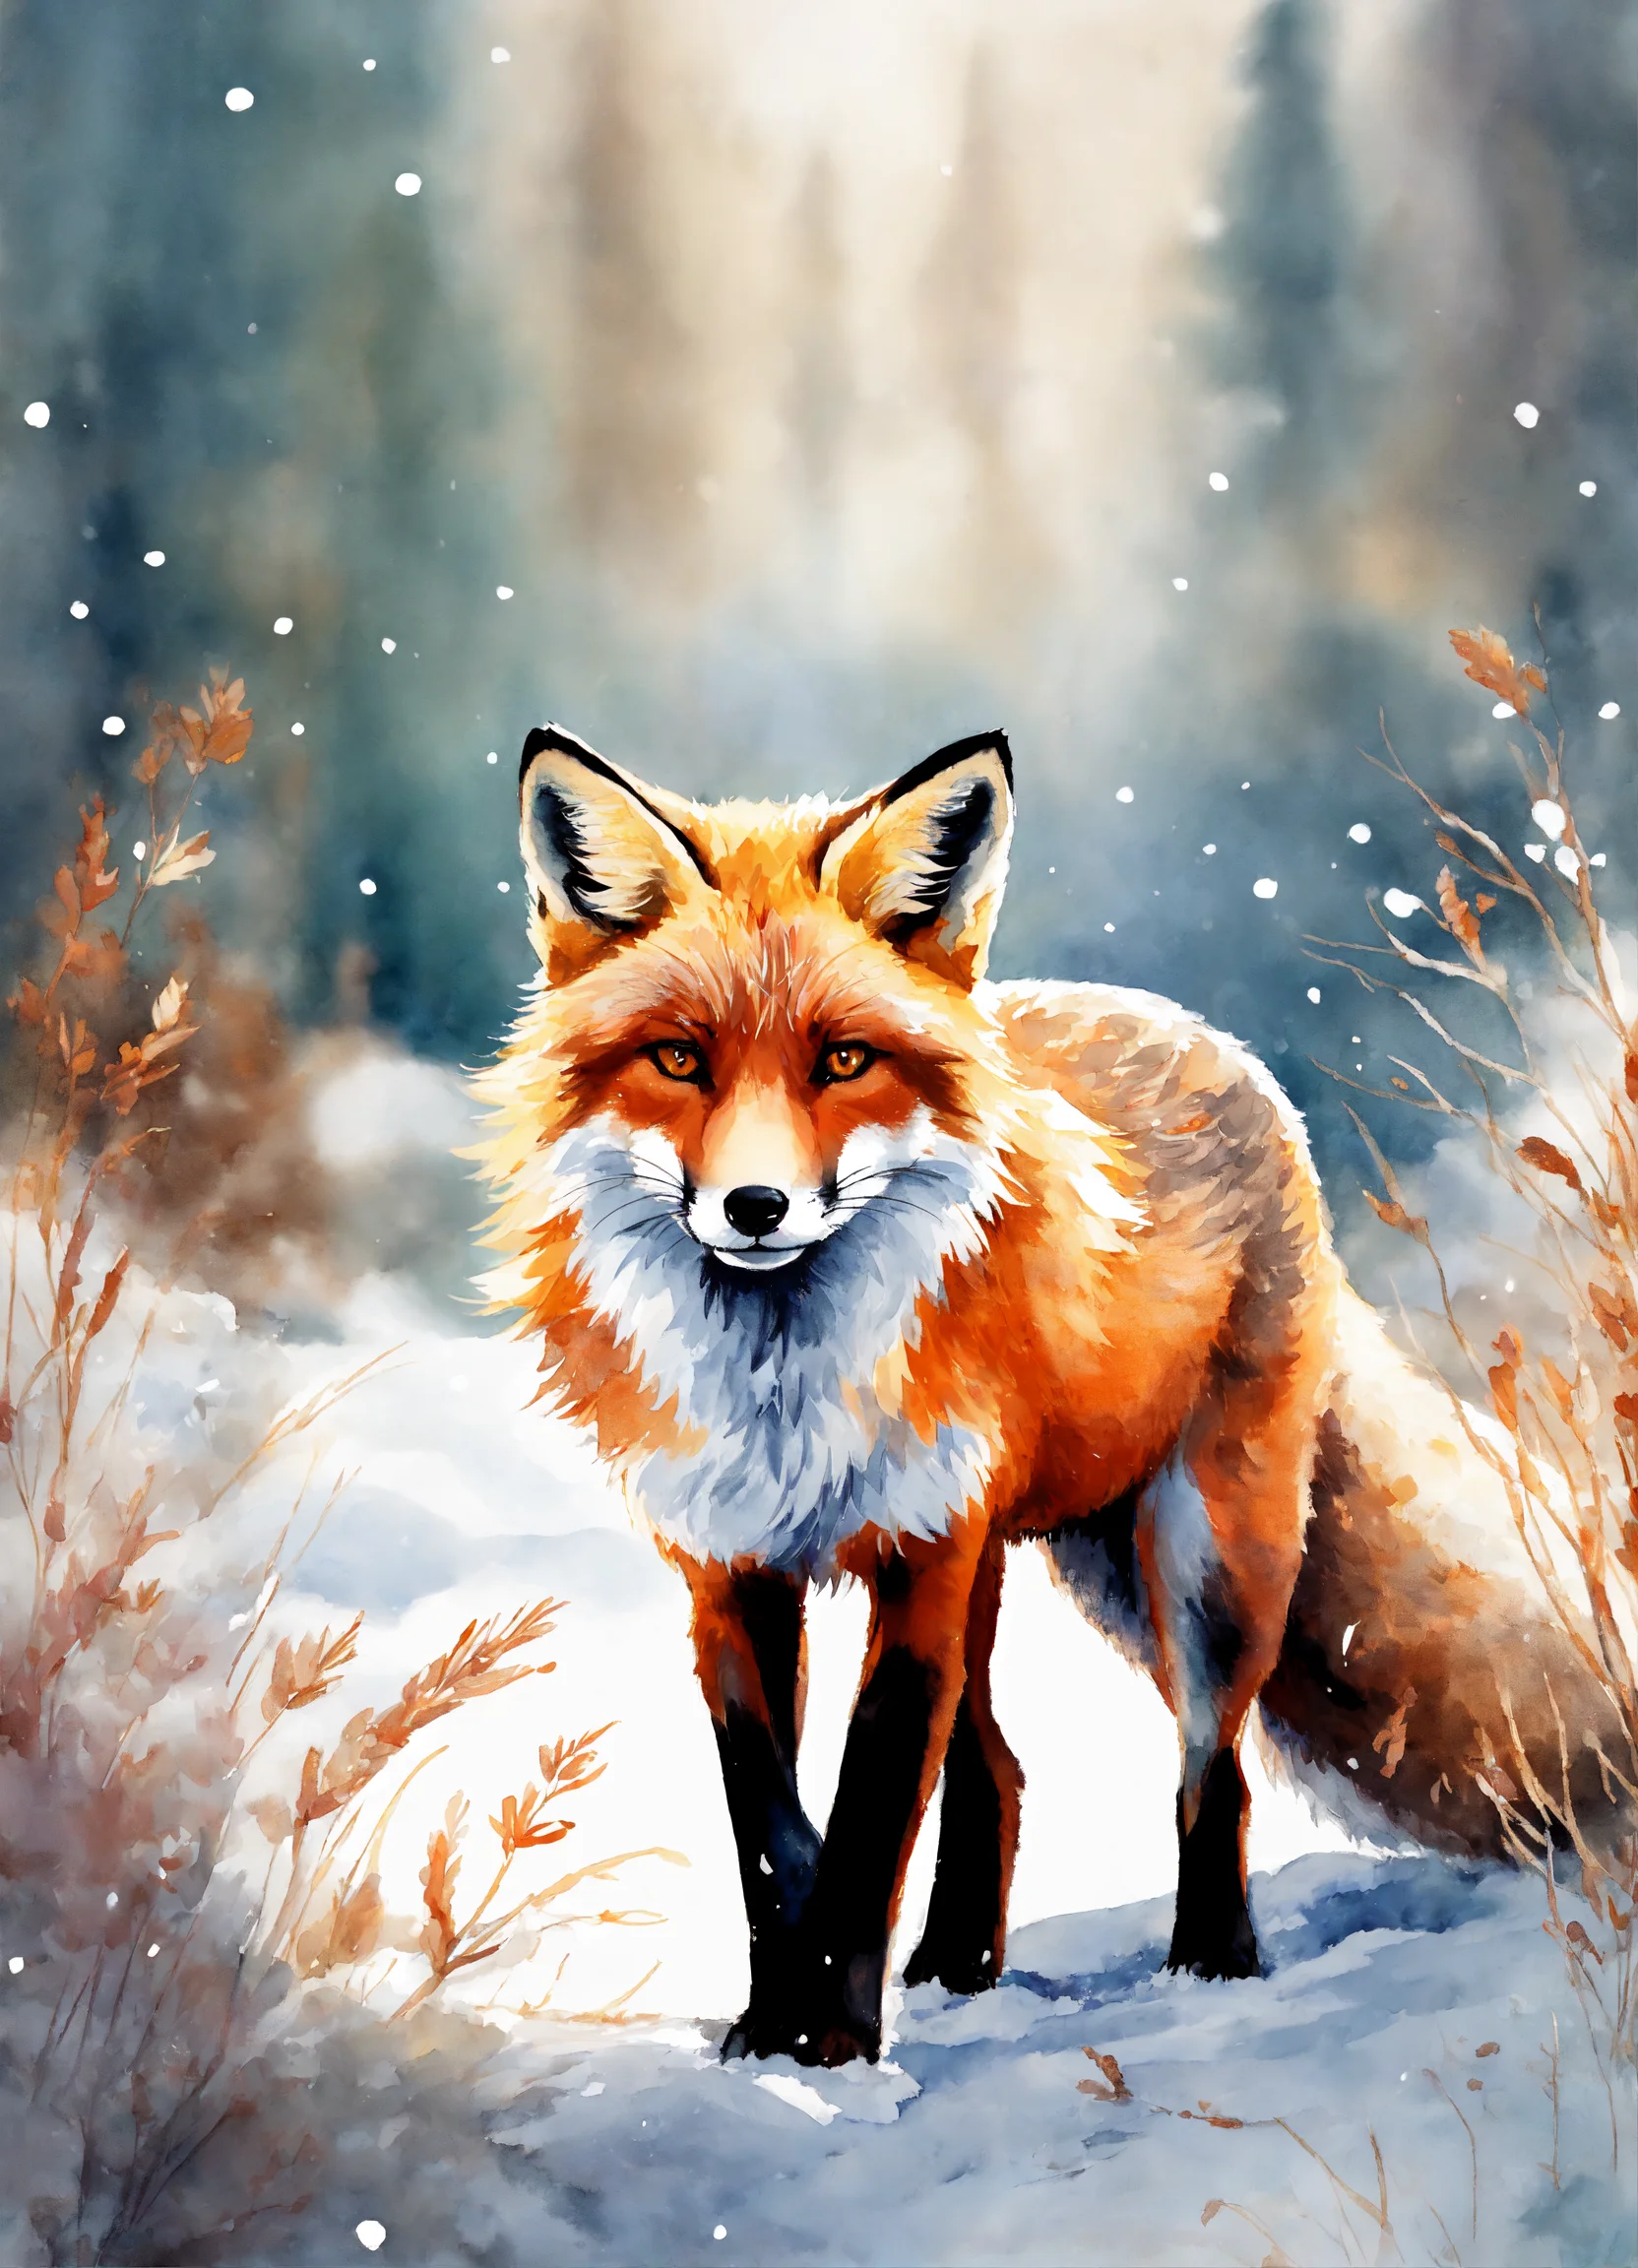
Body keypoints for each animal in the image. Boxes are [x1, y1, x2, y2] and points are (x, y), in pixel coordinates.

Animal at [477, 724, 1629, 2069]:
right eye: (677, 1059)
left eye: (842, 1060)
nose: (754, 1208)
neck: (785, 1386)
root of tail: (1207, 1042)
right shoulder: (730, 1566)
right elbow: (774, 1832)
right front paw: (775, 2029)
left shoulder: (917, 1548)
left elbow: (867, 1812)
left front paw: (832, 2044)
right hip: (1017, 1558)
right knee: (1000, 1770)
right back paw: (957, 1969)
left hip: (1194, 1557)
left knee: (1209, 1768)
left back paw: (1209, 1968)